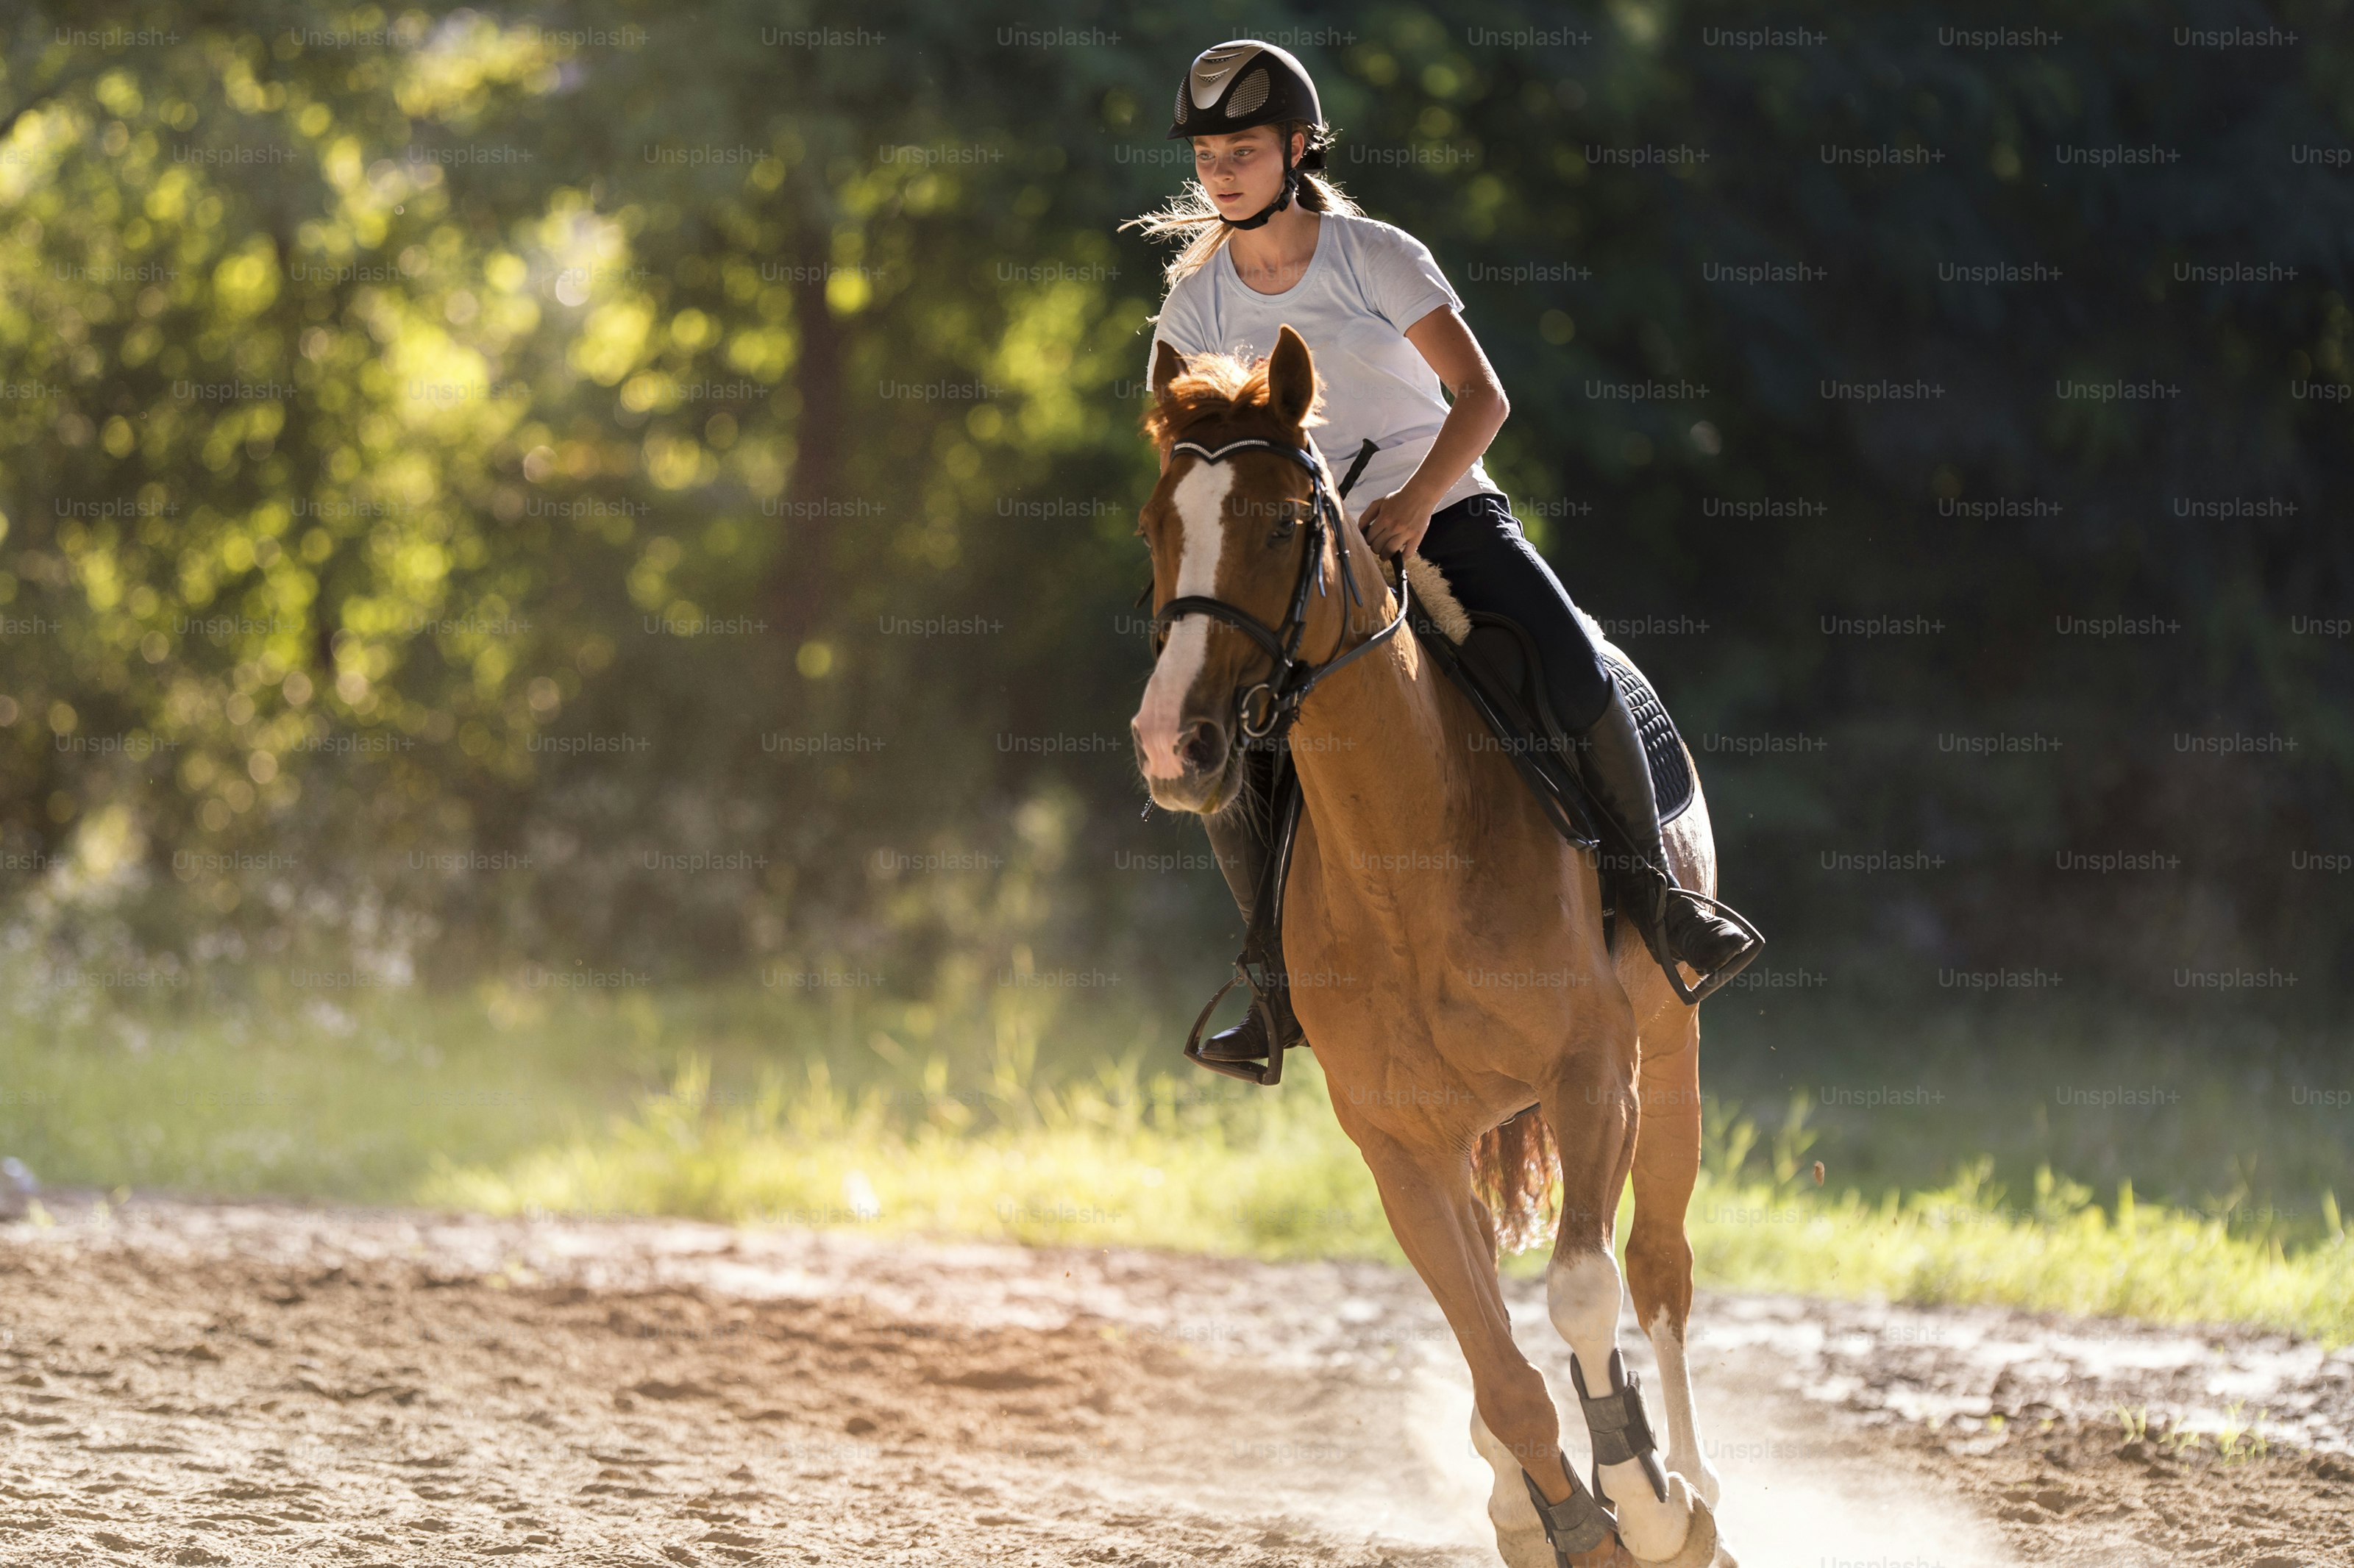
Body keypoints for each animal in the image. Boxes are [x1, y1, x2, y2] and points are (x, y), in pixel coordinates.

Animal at [1129, 326, 1731, 1568]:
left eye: (1282, 524)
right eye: (1156, 527)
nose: (1174, 745)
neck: (1411, 858)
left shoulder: (1596, 1075)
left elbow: (1583, 1290)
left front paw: (1647, 1504)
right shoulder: (1397, 1139)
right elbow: (1490, 1357)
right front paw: (1558, 1515)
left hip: (1671, 1053)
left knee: (1658, 1271)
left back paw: (1695, 1485)